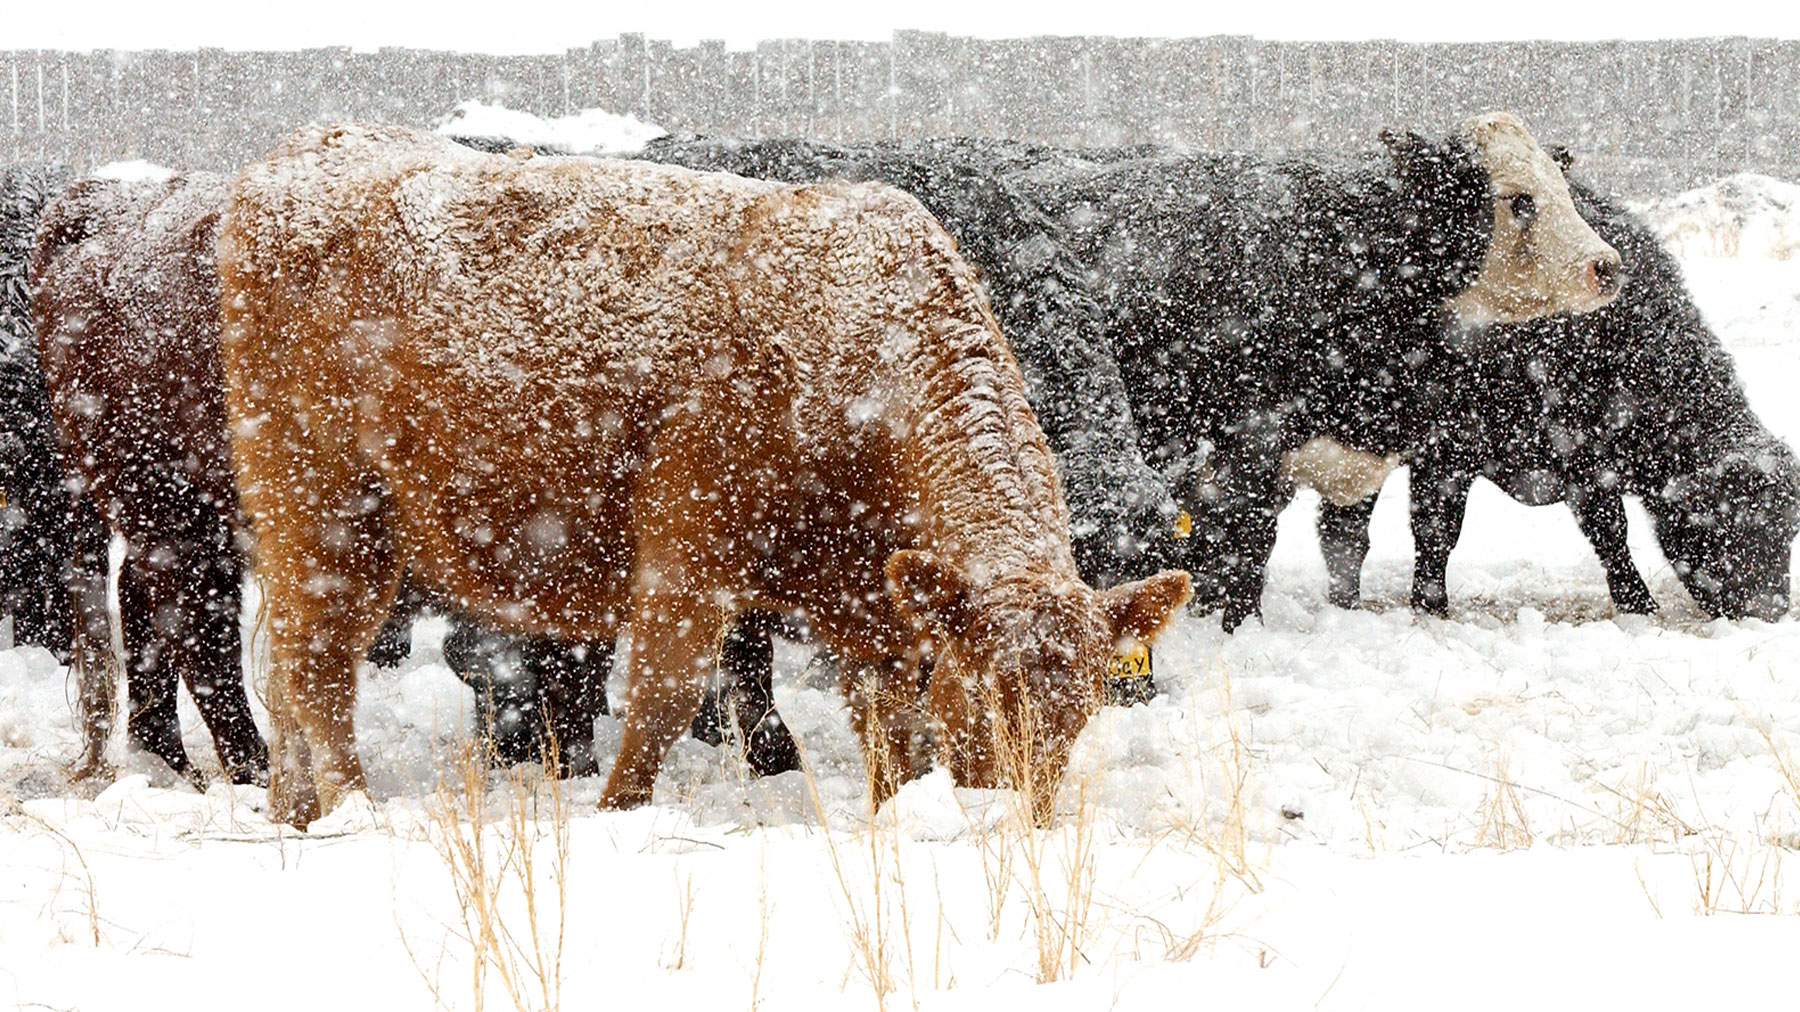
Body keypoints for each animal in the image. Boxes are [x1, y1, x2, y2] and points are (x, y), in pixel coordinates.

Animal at [218, 124, 1190, 827]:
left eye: (1083, 709)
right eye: (981, 692)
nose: (1011, 821)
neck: (856, 347)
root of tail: (314, 148)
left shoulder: (875, 608)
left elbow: (889, 728)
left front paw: (899, 815)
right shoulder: (688, 555)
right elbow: (664, 699)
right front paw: (619, 813)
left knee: (292, 672)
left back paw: (294, 812)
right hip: (327, 512)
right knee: (317, 670)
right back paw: (352, 810)